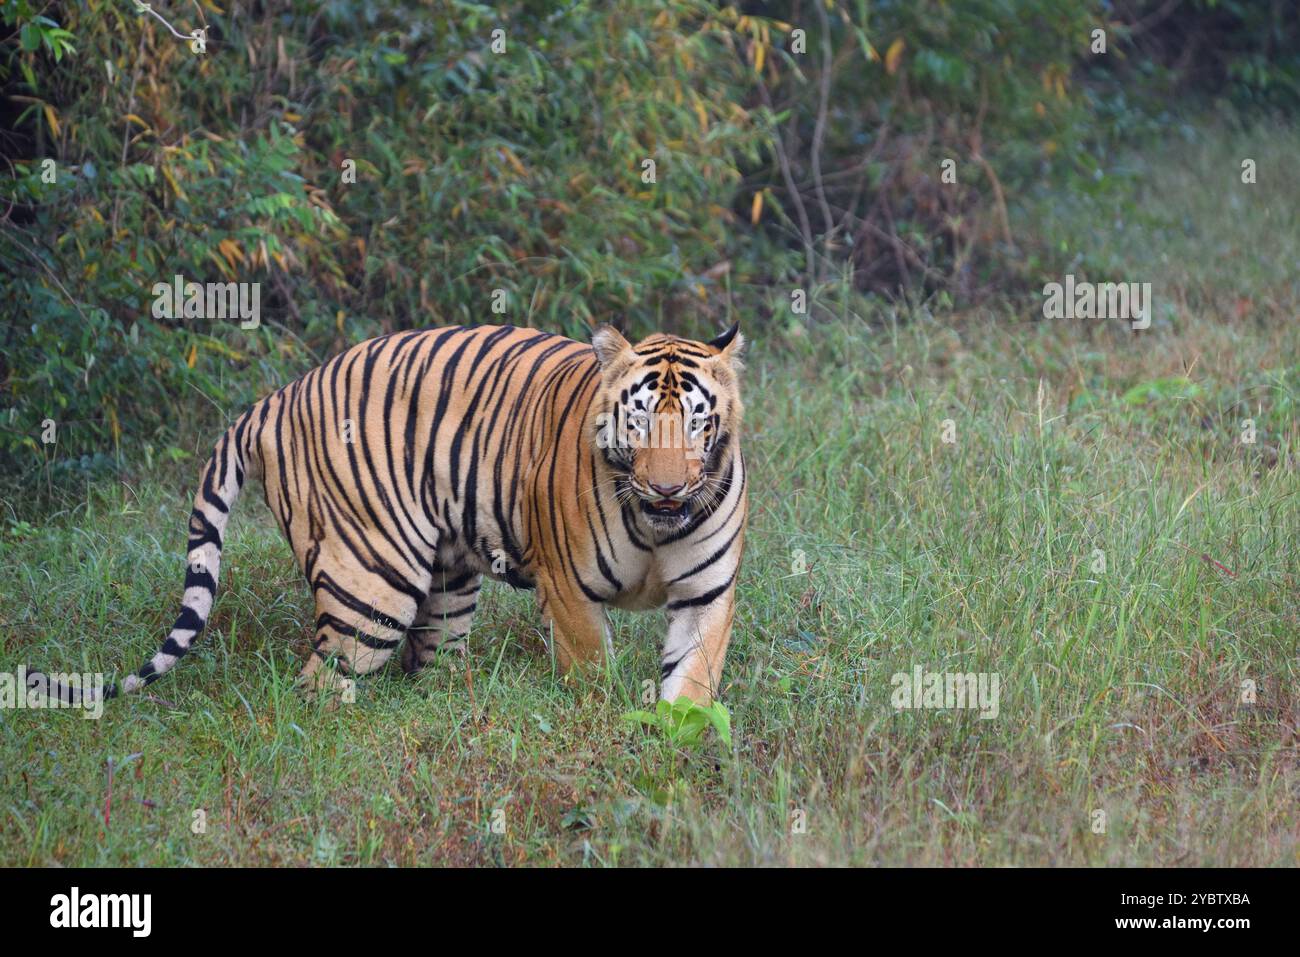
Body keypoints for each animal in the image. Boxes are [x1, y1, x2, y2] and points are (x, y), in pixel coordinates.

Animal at [29, 323, 748, 708]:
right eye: (638, 420)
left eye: (696, 421)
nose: (666, 489)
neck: (656, 527)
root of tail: (274, 398)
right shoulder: (569, 590)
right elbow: (591, 673)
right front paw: (600, 724)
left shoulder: (706, 592)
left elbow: (693, 679)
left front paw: (674, 742)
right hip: (372, 580)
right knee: (322, 679)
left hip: (449, 576)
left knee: (429, 660)